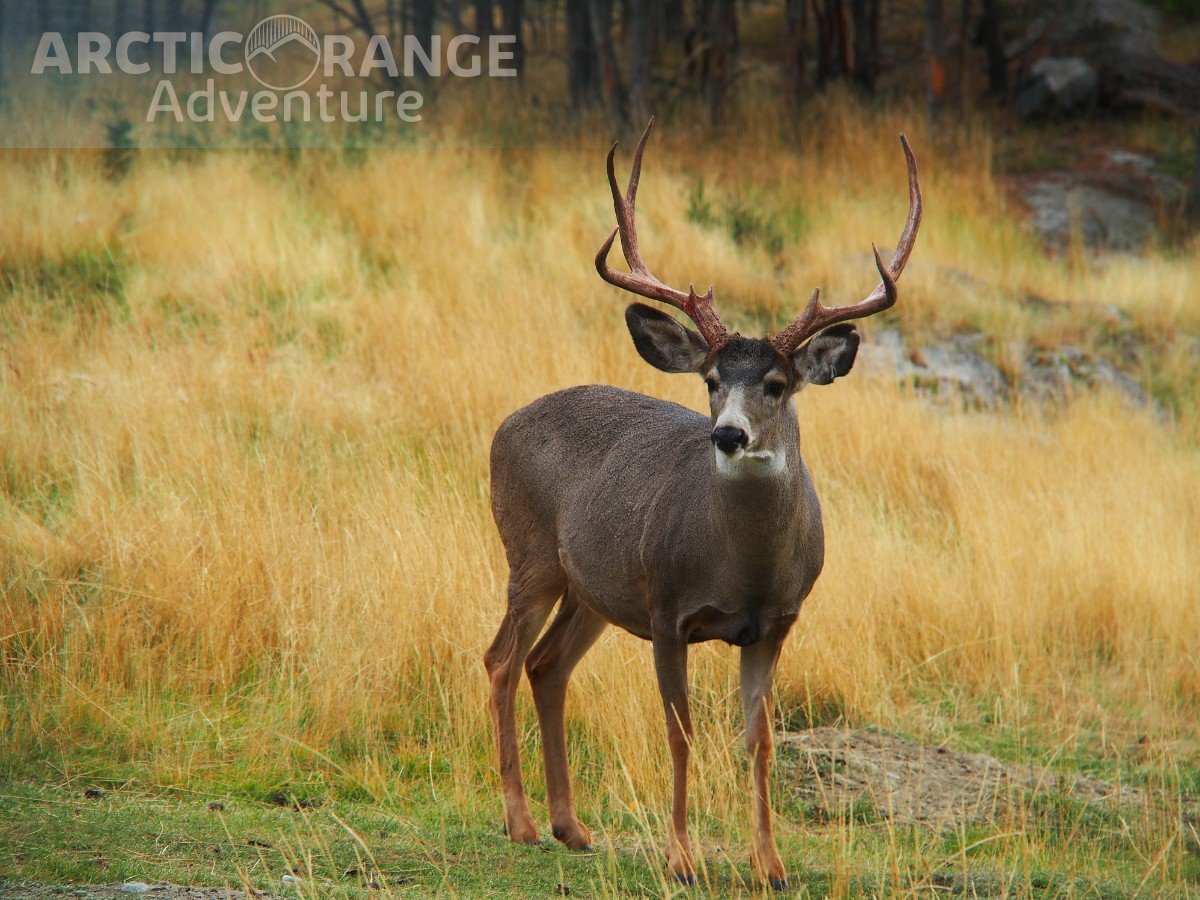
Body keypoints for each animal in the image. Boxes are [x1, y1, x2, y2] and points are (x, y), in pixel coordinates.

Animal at [484, 119, 922, 891]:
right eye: (712, 379)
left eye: (776, 384)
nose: (727, 433)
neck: (744, 569)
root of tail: (505, 425)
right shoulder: (667, 610)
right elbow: (680, 731)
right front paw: (681, 858)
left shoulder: (778, 623)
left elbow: (761, 740)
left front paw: (771, 865)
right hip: (529, 554)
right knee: (502, 660)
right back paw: (523, 822)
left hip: (590, 588)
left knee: (546, 666)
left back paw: (573, 827)